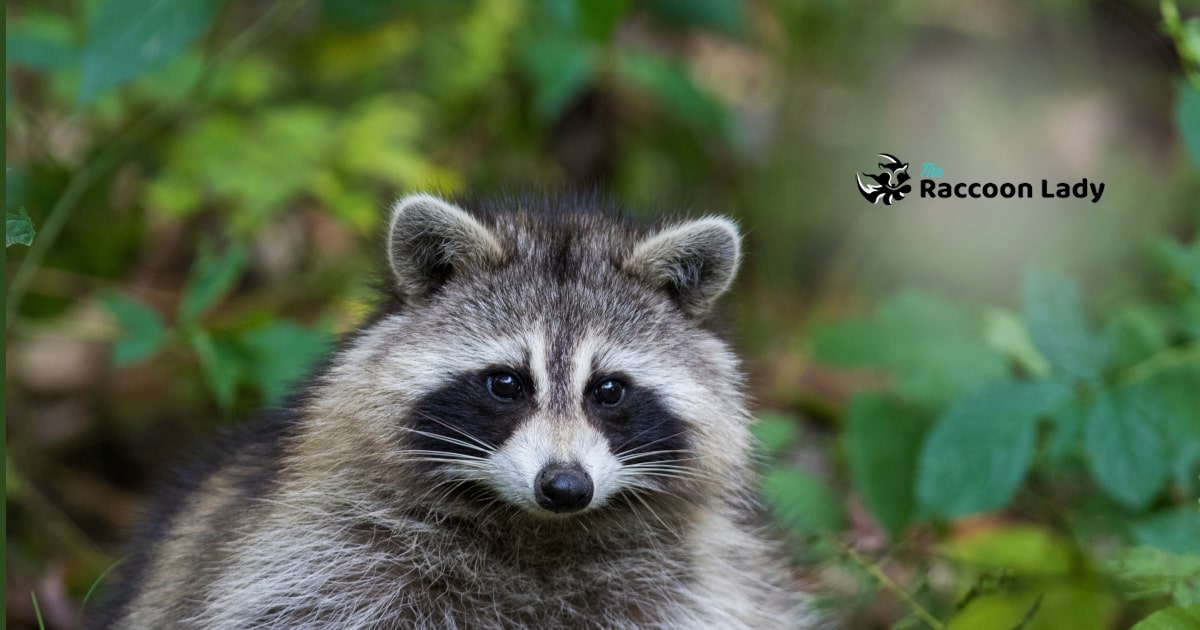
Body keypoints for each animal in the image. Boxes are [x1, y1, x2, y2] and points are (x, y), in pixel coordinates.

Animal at [96, 194, 810, 629]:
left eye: (608, 390)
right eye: (506, 384)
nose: (564, 487)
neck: (535, 531)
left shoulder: (687, 587)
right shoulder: (326, 560)